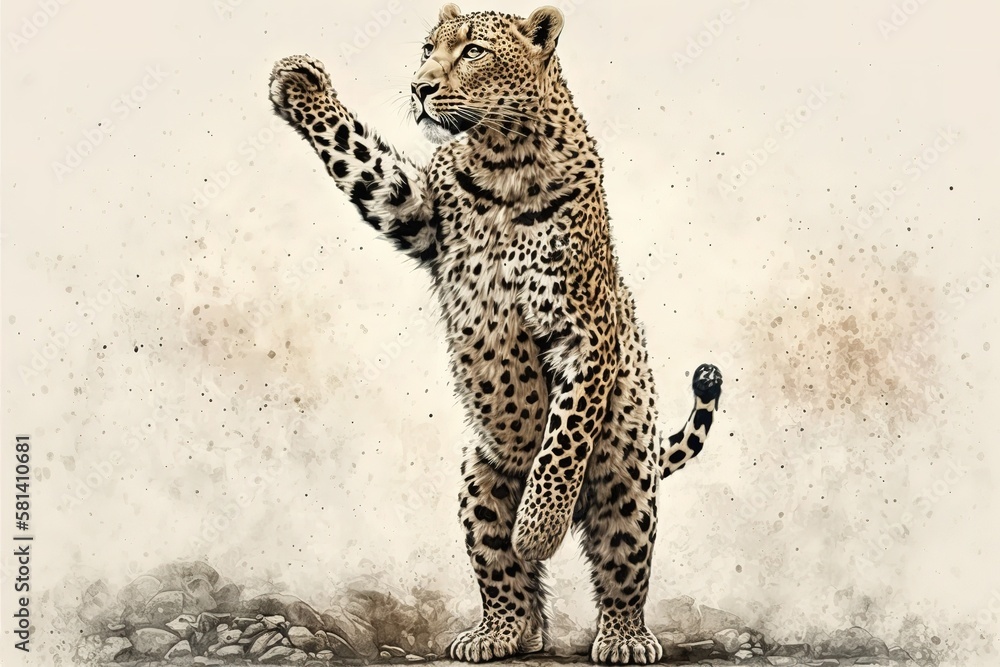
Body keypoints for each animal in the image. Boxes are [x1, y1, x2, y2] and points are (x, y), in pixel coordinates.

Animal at [268, 4, 723, 664]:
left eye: (473, 51)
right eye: (427, 49)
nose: (418, 87)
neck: (503, 157)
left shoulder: (584, 332)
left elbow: (562, 440)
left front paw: (539, 525)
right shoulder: (415, 213)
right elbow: (366, 162)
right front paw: (299, 85)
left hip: (627, 484)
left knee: (623, 568)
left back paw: (624, 637)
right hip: (480, 484)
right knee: (505, 576)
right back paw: (501, 633)